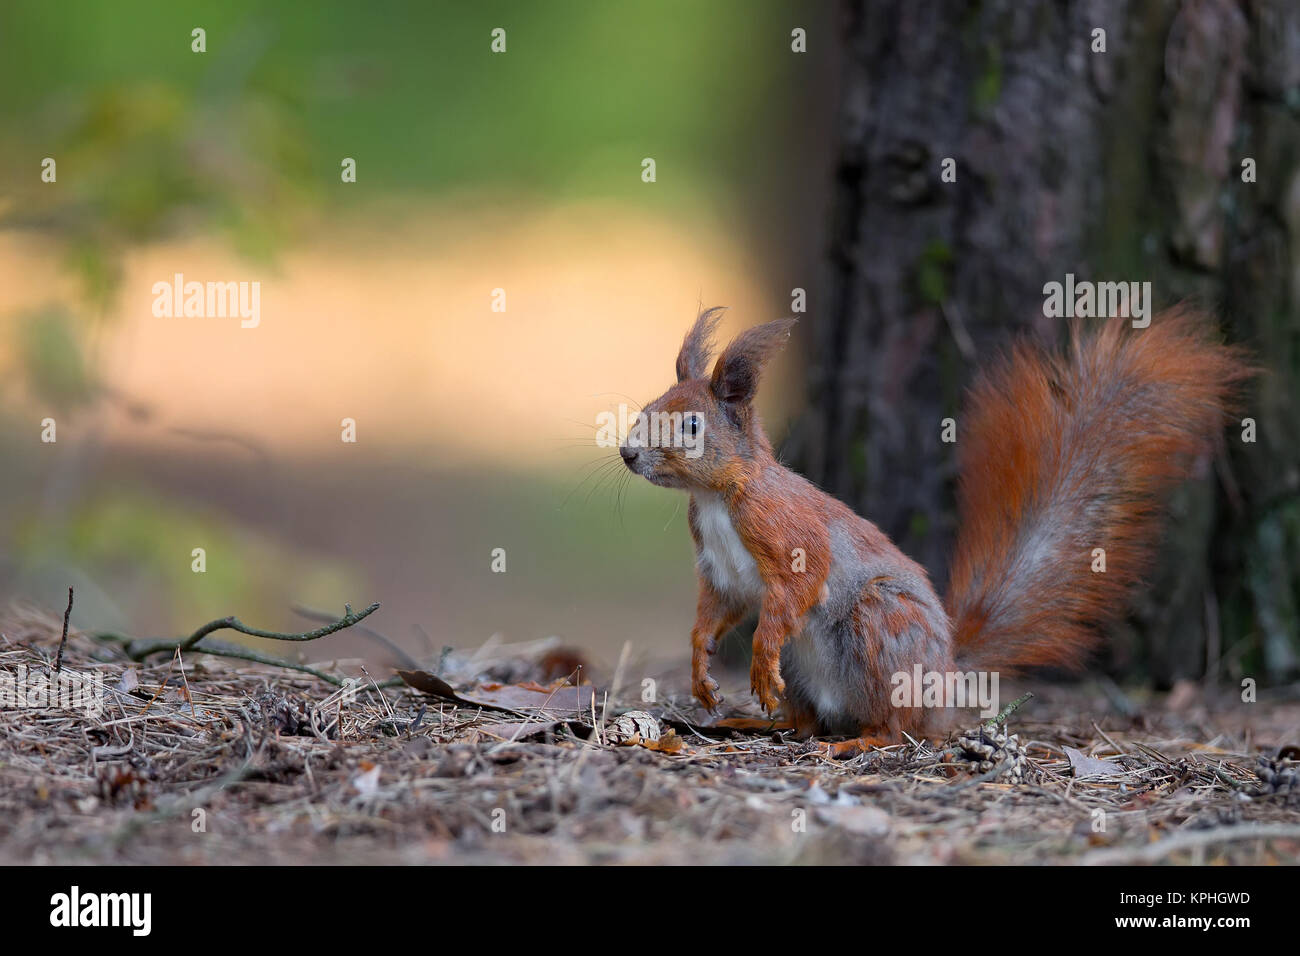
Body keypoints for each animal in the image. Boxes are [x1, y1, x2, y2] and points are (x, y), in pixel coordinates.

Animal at [618, 305, 1251, 756]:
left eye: (691, 424)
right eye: (649, 406)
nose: (627, 453)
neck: (716, 497)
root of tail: (946, 674)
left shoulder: (785, 527)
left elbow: (797, 586)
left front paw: (758, 654)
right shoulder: (718, 569)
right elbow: (716, 609)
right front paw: (702, 669)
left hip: (882, 629)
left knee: (899, 727)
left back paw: (858, 739)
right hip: (811, 670)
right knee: (808, 723)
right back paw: (761, 723)